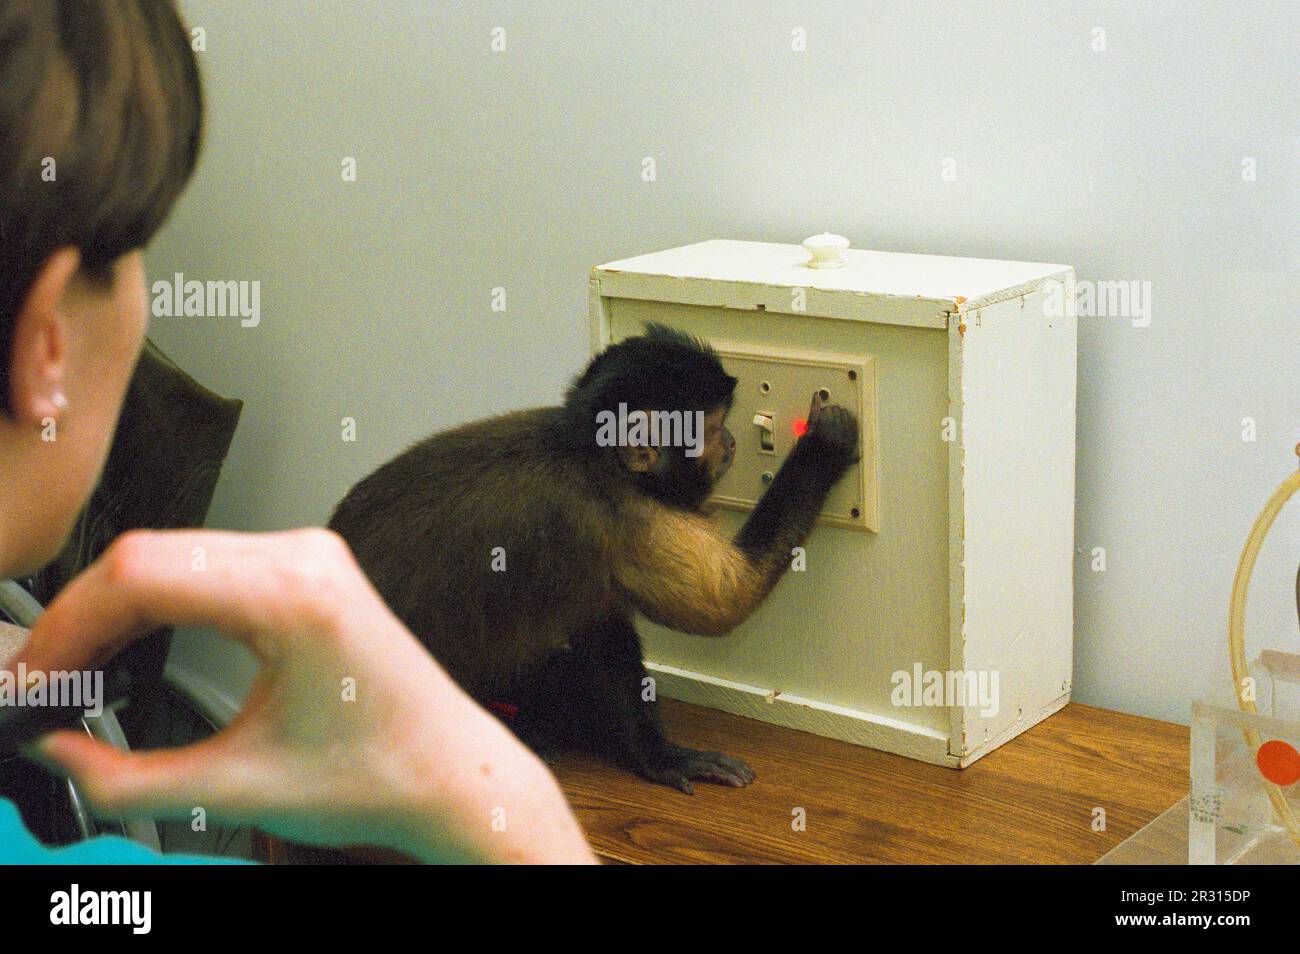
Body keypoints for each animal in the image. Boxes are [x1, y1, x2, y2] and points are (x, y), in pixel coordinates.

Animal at [328, 324, 859, 793]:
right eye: (714, 426)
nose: (729, 441)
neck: (593, 454)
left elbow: (600, 626)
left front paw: (654, 758)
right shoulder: (623, 516)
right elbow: (728, 598)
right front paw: (822, 445)